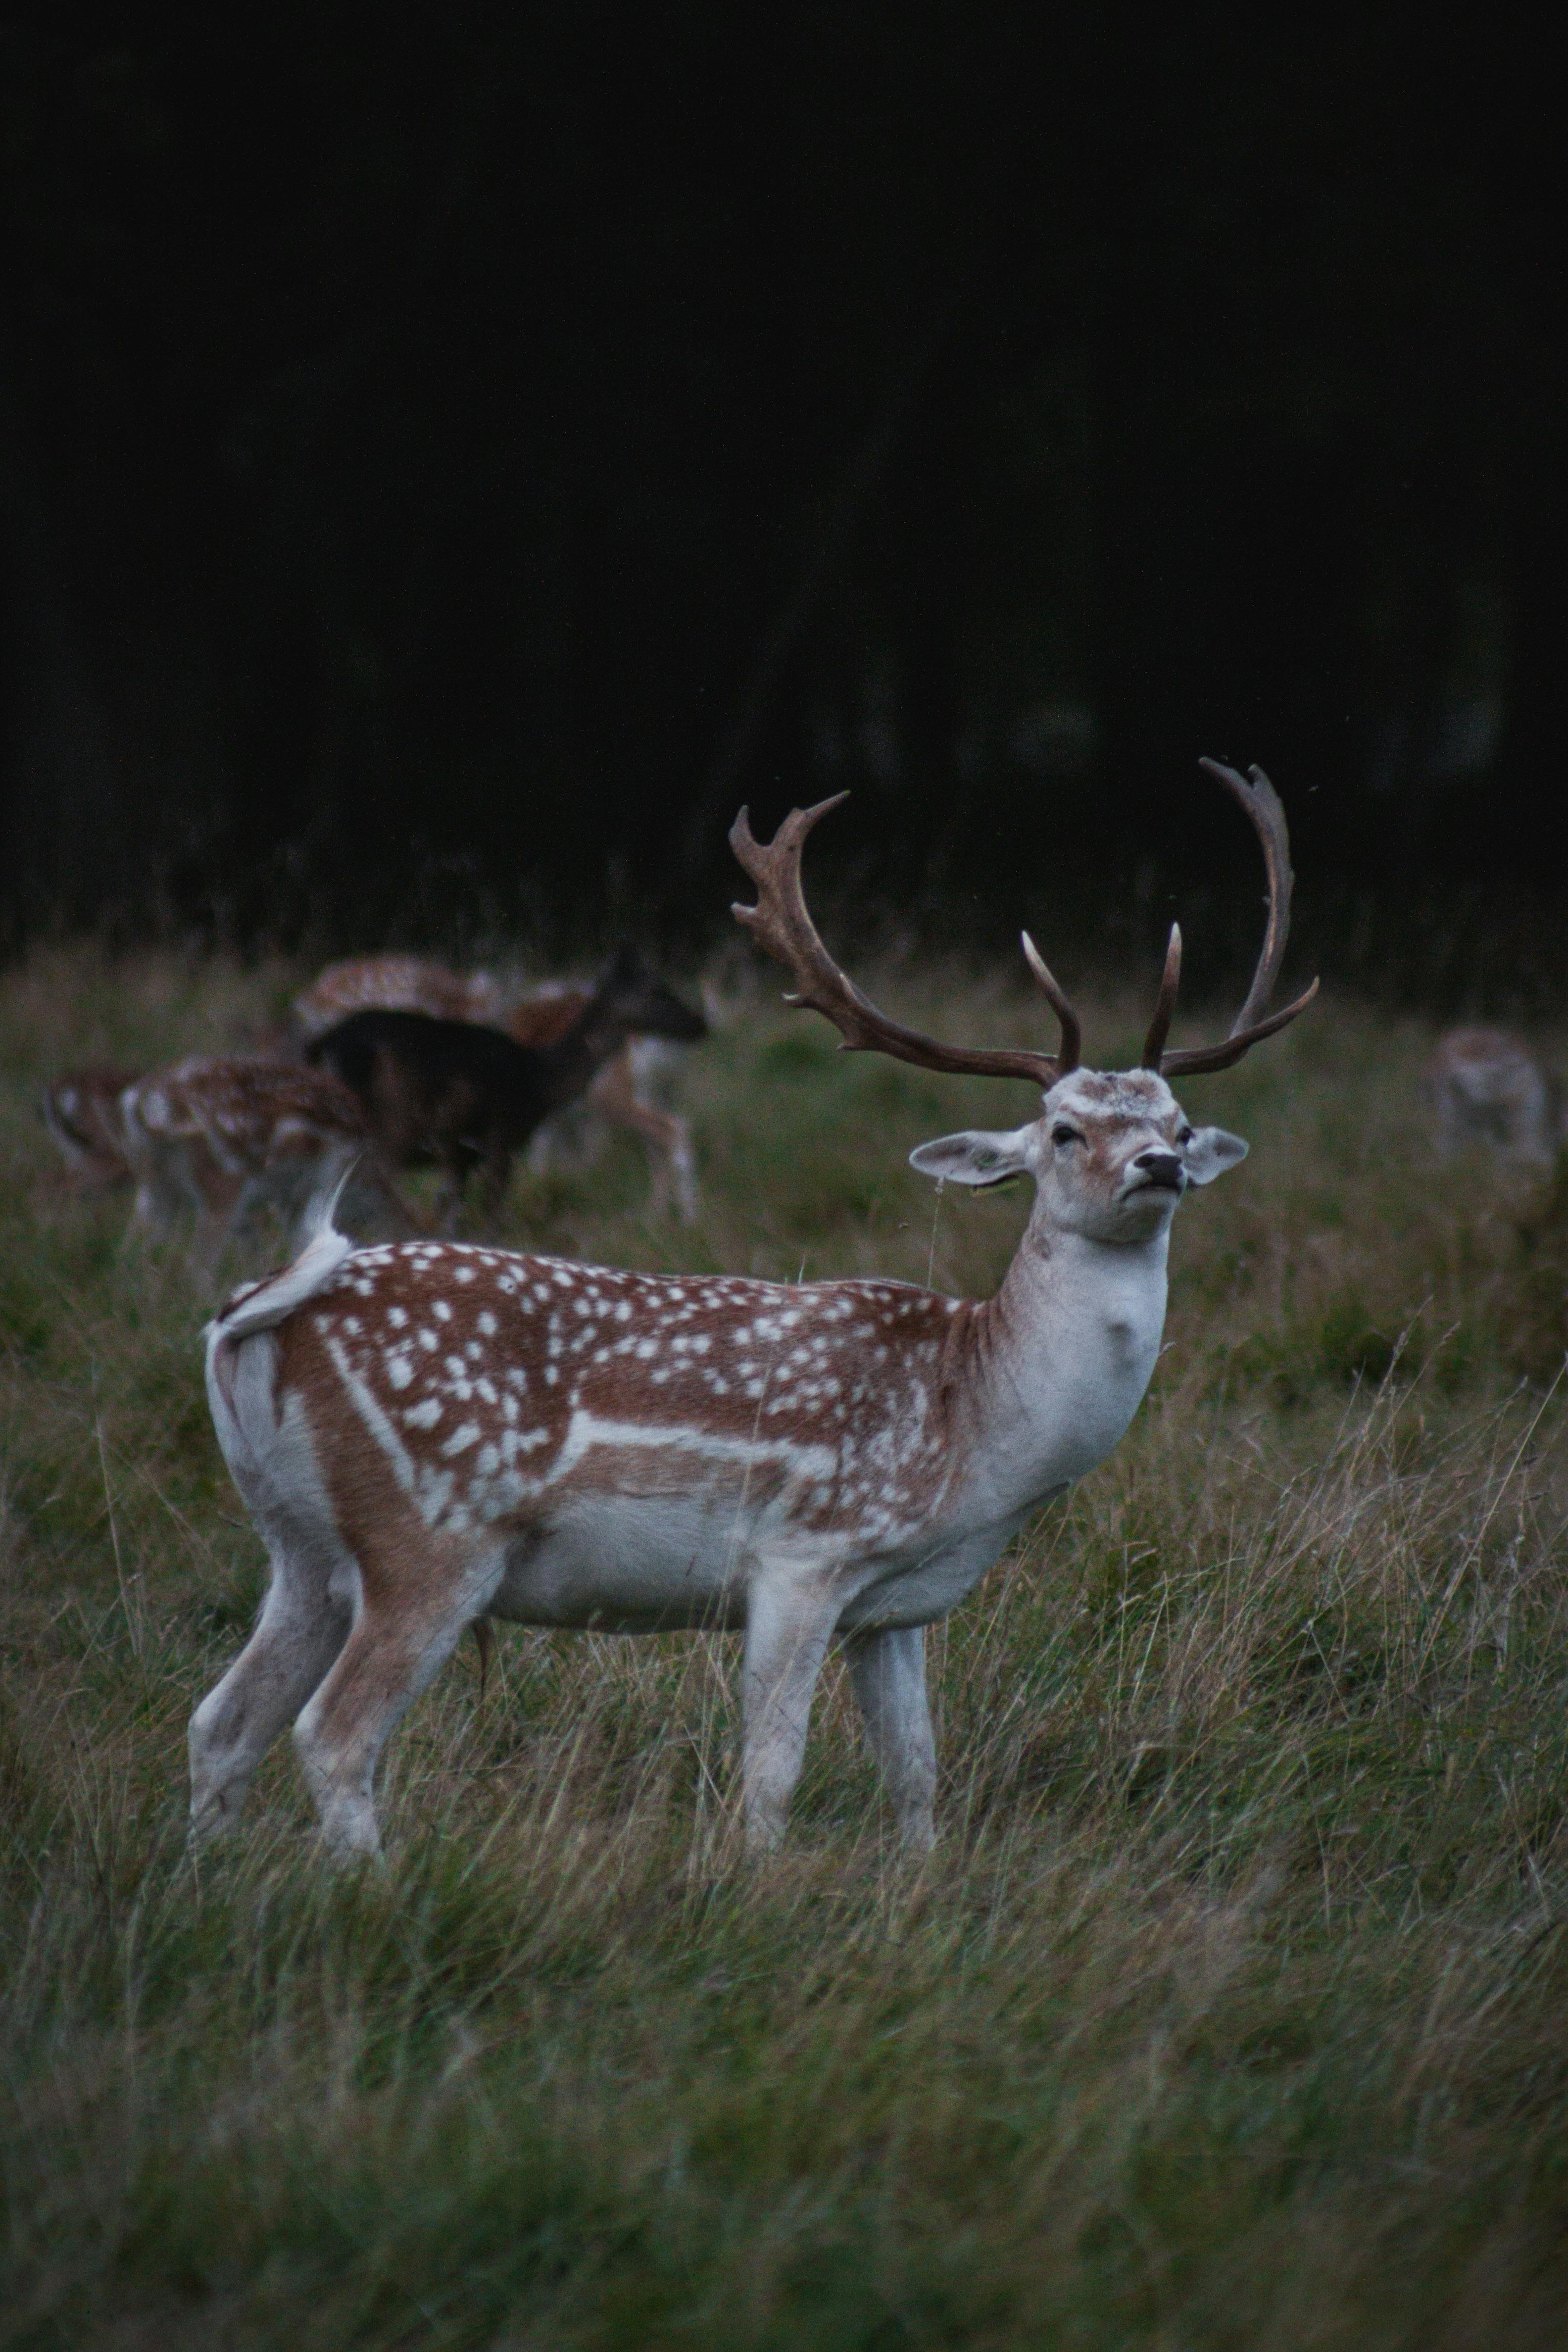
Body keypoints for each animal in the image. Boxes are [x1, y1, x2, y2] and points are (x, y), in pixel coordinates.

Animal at [303, 946, 708, 1229]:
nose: (700, 1023)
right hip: (386, 1126)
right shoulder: (495, 1140)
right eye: (657, 990)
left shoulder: (472, 1151)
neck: (539, 1077)